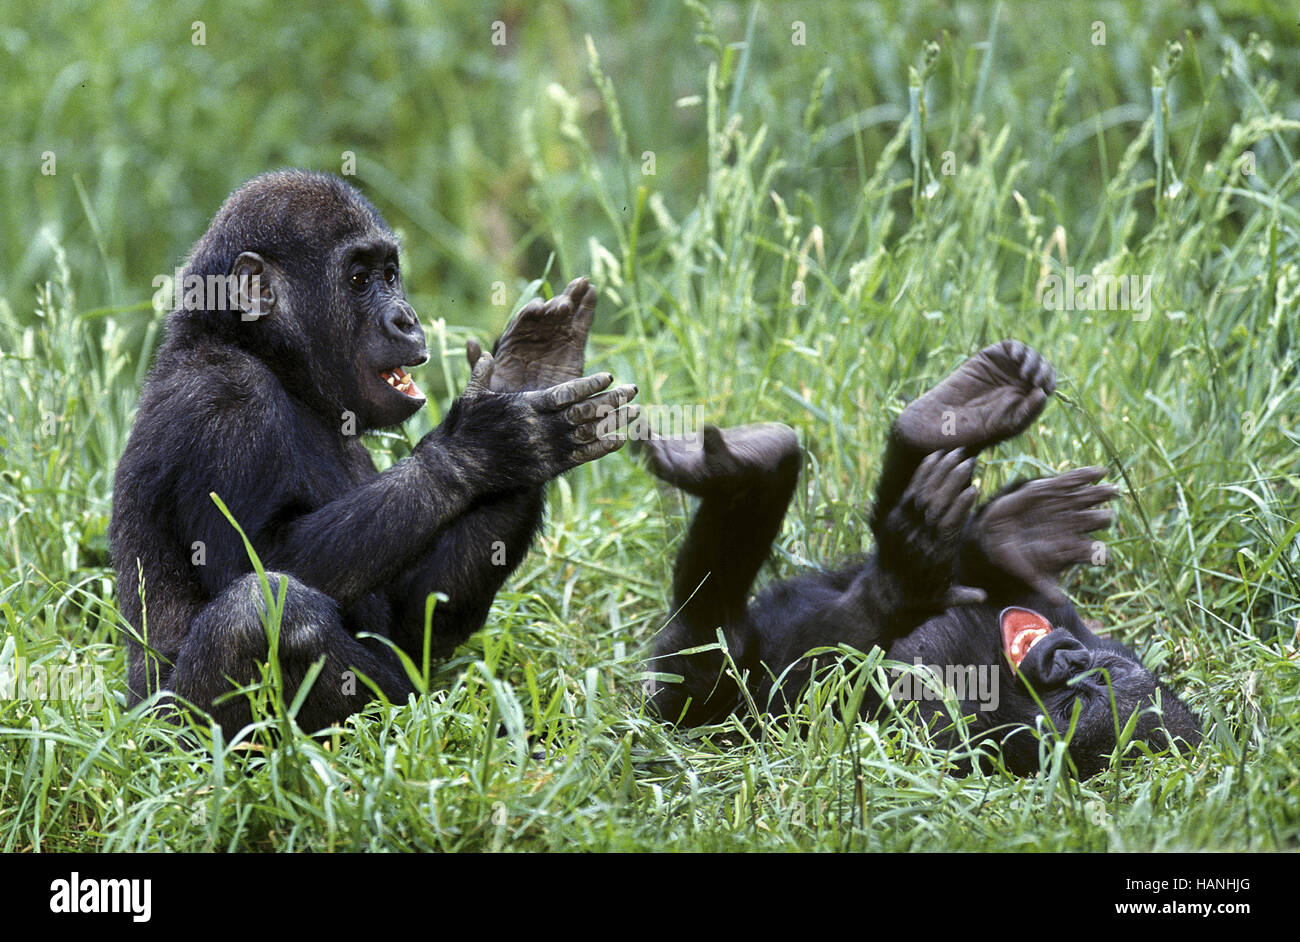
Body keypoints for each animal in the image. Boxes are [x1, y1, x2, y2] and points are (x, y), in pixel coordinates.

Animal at [110, 169, 638, 734]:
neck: (265, 356)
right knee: (266, 610)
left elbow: (415, 617)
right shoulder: (226, 402)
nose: (405, 318)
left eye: (390, 274)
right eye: (360, 280)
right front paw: (482, 448)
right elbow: (258, 557)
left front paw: (525, 375)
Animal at [643, 341, 1201, 776]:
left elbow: (816, 697)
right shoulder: (1079, 622)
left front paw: (905, 576)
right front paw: (1012, 539)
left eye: (1078, 701)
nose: (1066, 658)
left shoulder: (952, 731)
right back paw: (949, 420)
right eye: (1095, 674)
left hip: (683, 701)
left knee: (716, 651)